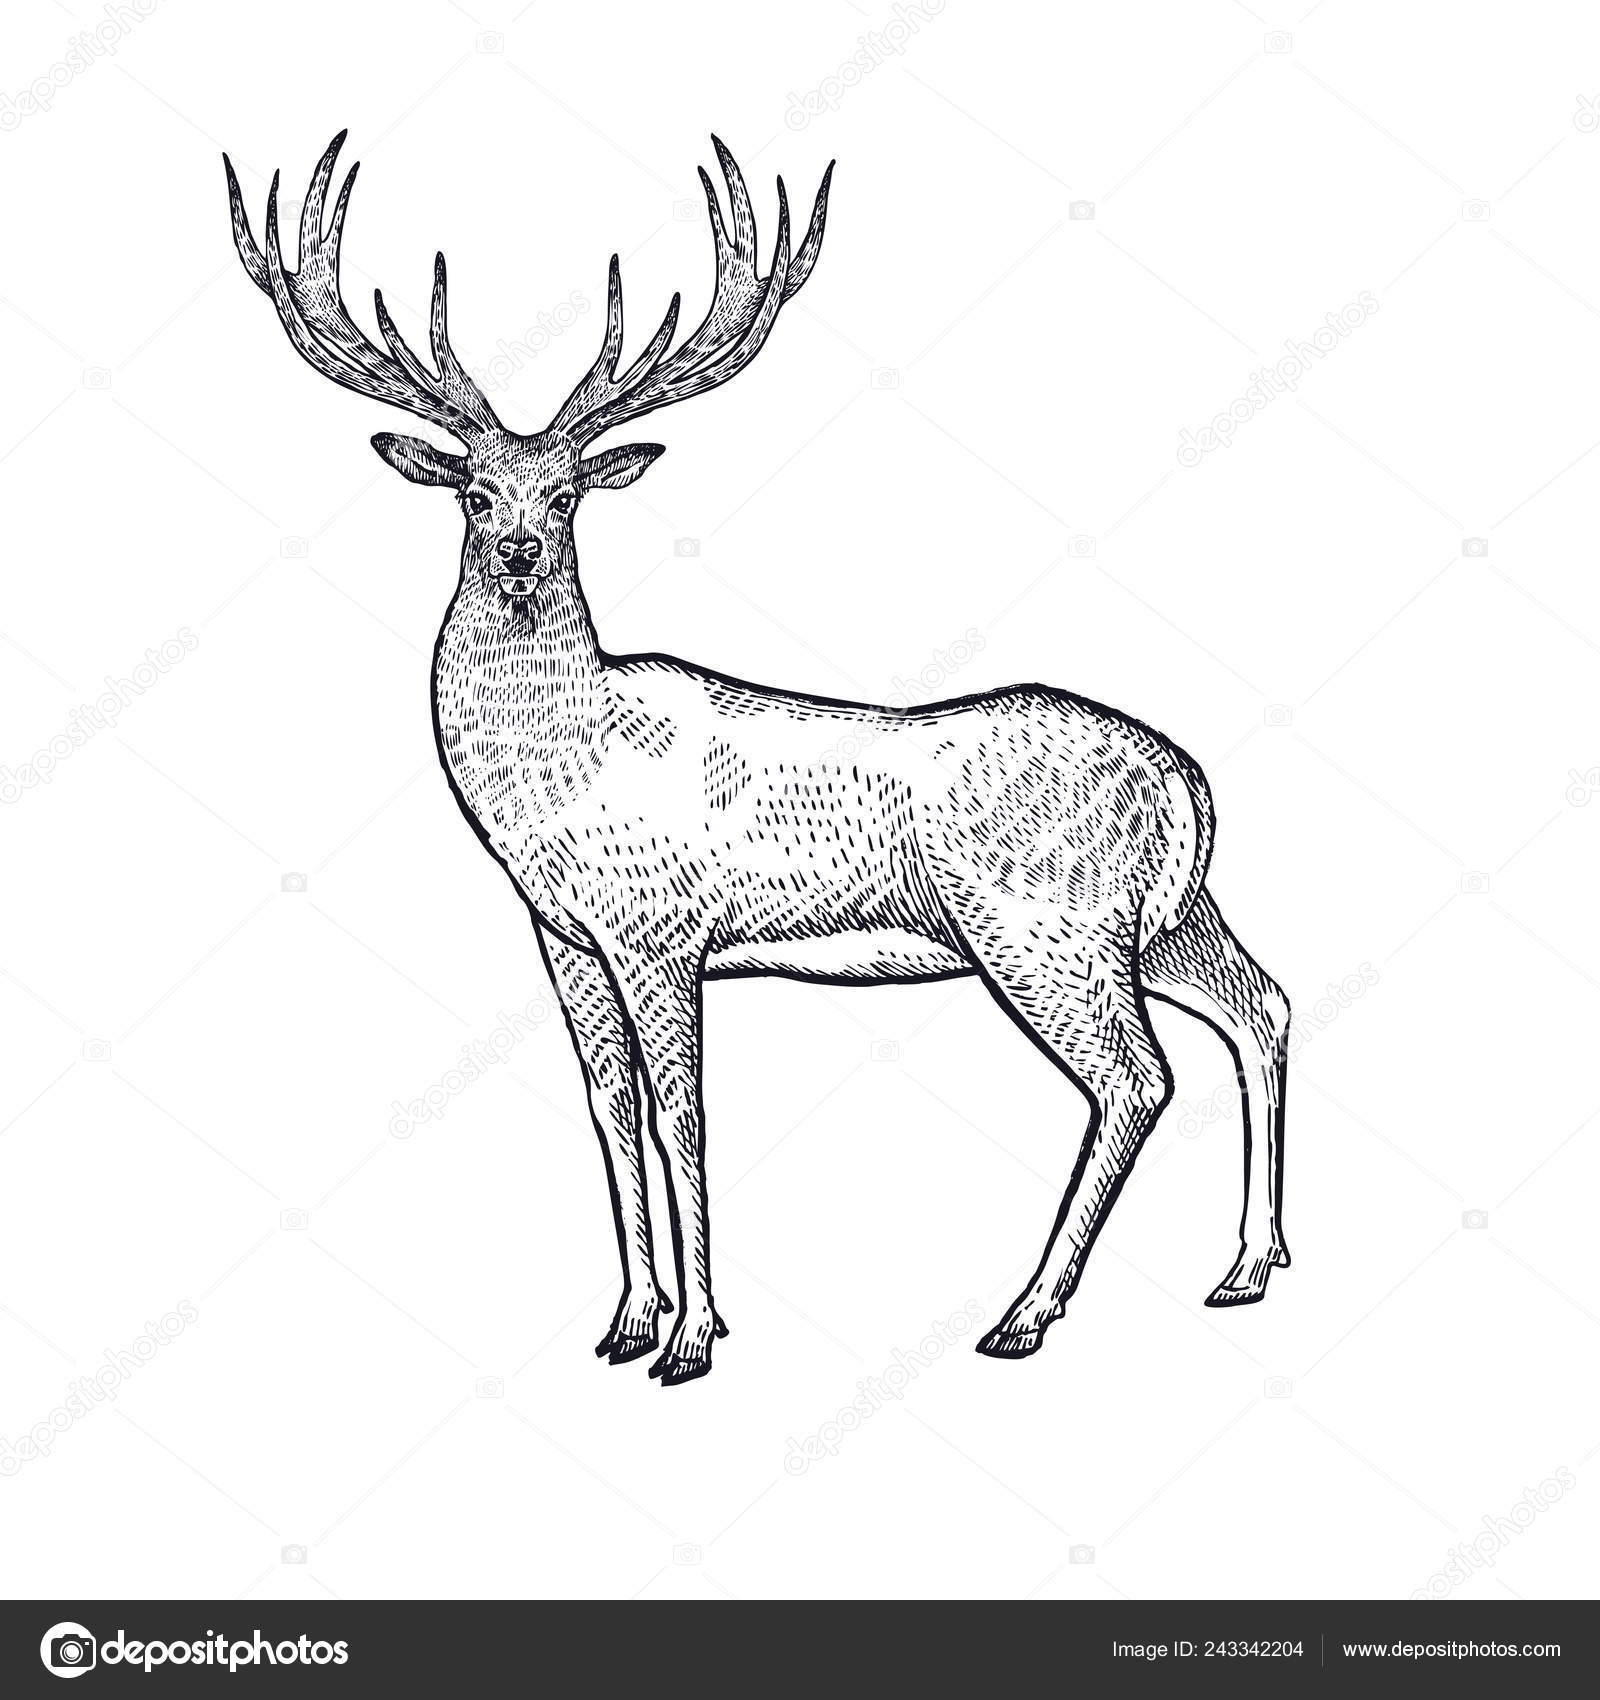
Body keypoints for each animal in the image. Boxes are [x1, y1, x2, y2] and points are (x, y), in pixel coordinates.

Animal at [223, 131, 1290, 1386]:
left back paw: (1025, 1311)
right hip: (1160, 919)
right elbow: (608, 1108)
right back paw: (1247, 1266)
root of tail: (1186, 782)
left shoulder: (660, 928)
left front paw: (692, 1337)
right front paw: (629, 1318)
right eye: (476, 493)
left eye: (567, 493)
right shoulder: (564, 933)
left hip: (1041, 928)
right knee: (1260, 1003)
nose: (522, 552)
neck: (562, 766)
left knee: (1136, 1075)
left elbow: (682, 1114)